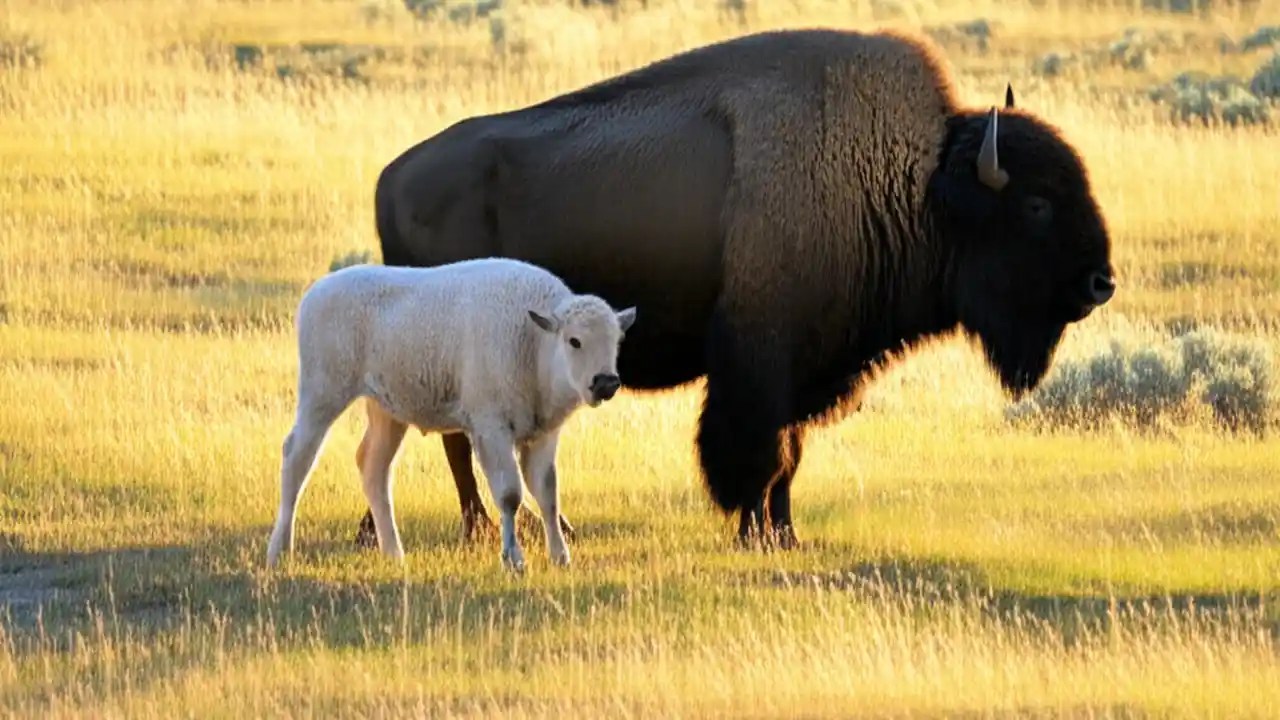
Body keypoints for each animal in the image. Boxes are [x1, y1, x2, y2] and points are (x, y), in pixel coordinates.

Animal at [353, 28, 1116, 550]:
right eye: (1037, 204)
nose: (1101, 282)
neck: (913, 184)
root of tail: (391, 176)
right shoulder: (757, 362)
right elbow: (761, 451)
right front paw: (756, 531)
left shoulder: (805, 366)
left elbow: (791, 455)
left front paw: (785, 533)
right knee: (457, 439)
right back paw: (484, 529)